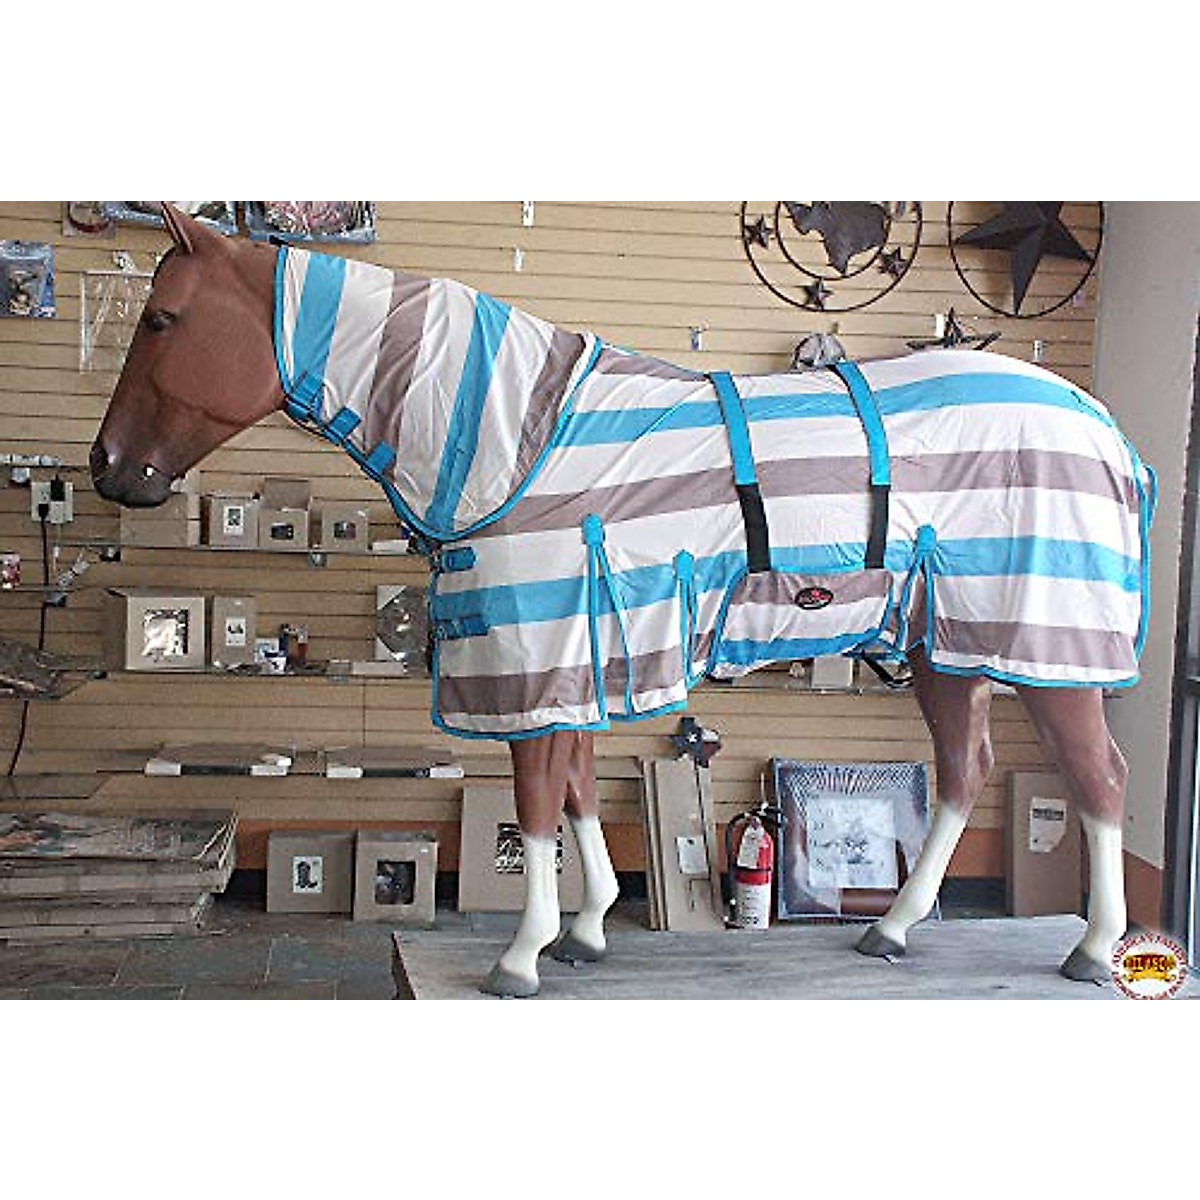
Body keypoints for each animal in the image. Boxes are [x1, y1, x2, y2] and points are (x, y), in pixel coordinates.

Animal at [92, 204, 1152, 998]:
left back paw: (1093, 949)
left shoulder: (538, 654)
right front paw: (587, 930)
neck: (512, 439)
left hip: (1041, 644)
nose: (109, 470)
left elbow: (536, 803)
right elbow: (572, 791)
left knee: (1099, 779)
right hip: (946, 644)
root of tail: (1102, 426)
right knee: (967, 769)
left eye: (162, 320)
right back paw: (891, 928)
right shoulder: (574, 655)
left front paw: (521, 955)